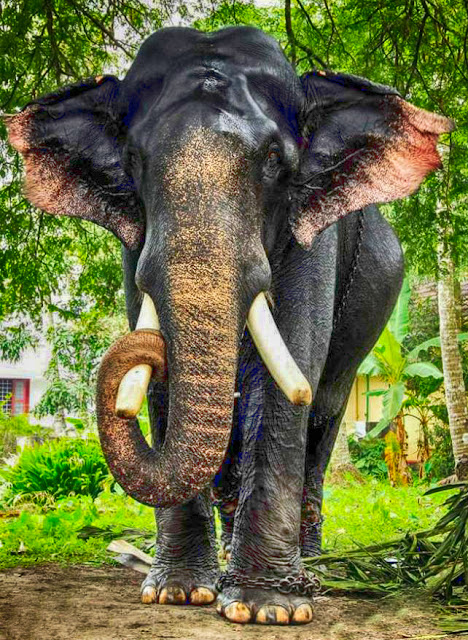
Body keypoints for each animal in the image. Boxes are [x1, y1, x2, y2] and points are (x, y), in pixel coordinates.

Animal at [6, 26, 452, 626]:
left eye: (274, 158)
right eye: (134, 158)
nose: (138, 346)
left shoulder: (309, 234)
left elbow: (291, 373)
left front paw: (269, 609)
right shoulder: (135, 240)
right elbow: (163, 387)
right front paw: (176, 592)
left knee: (324, 416)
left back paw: (314, 571)